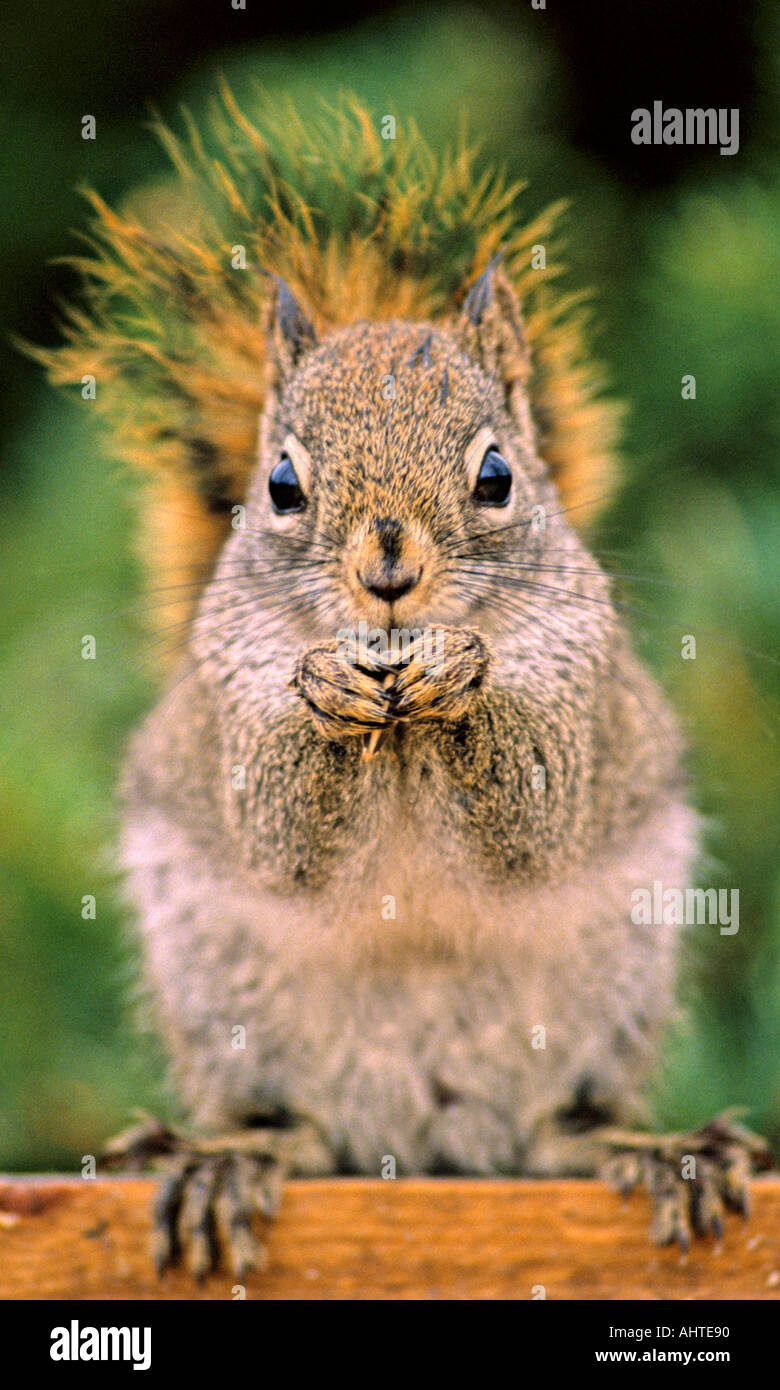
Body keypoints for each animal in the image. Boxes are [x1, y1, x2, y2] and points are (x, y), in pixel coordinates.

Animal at [43, 88, 769, 1278]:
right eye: (280, 486)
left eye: (497, 474)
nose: (388, 574)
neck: (401, 717)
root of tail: (418, 1136)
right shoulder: (232, 693)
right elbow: (276, 827)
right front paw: (329, 693)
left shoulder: (579, 680)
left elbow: (537, 813)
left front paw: (466, 675)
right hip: (223, 999)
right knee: (298, 1127)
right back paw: (232, 1157)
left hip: (604, 994)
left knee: (552, 1132)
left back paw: (648, 1150)